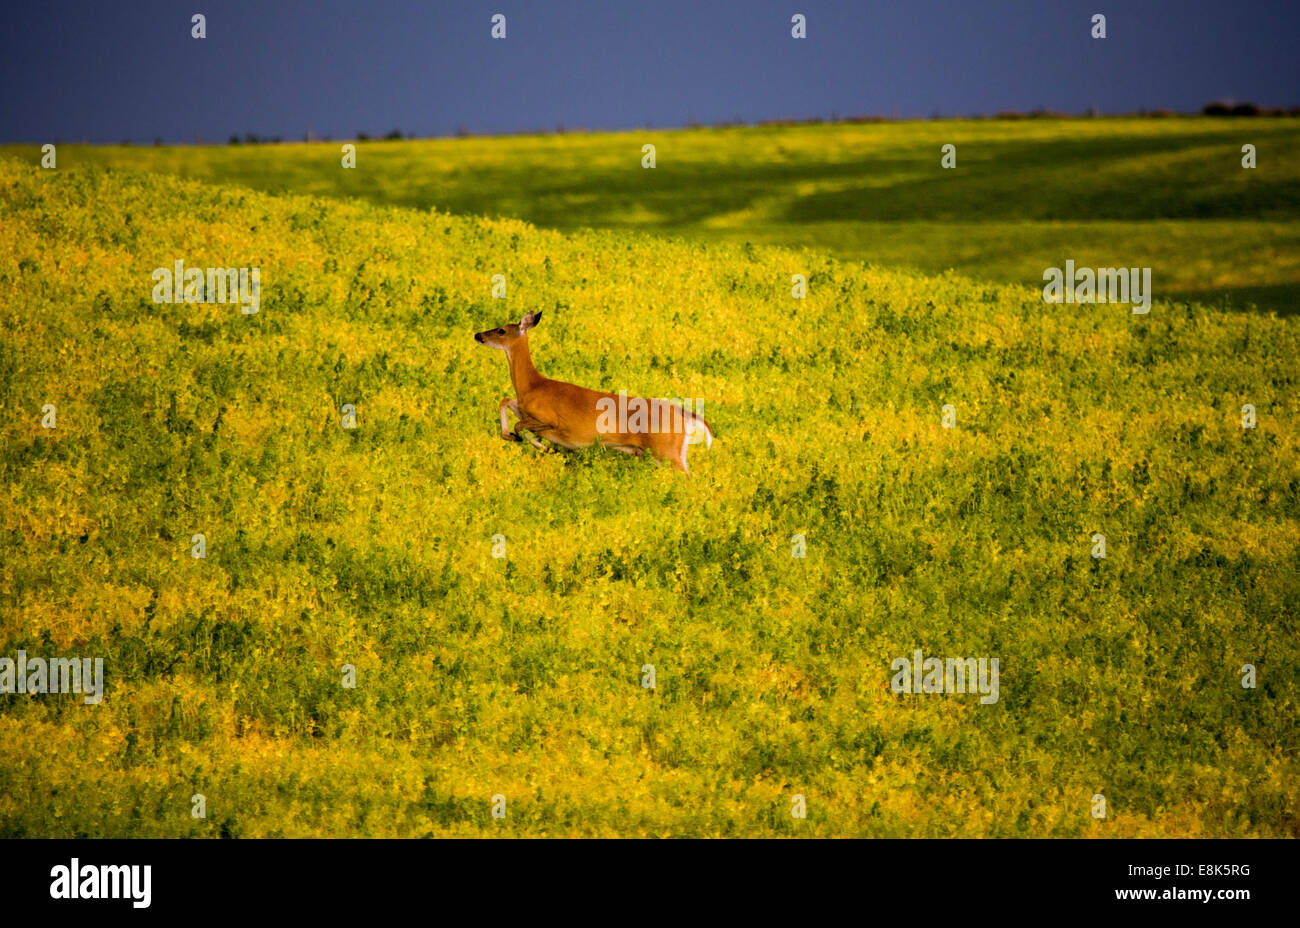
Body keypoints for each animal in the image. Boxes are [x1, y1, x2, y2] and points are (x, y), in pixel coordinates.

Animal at [474, 312, 714, 474]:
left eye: (501, 330)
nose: (478, 335)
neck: (531, 385)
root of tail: (684, 414)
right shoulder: (524, 409)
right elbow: (506, 402)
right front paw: (512, 436)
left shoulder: (549, 419)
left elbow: (520, 425)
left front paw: (540, 446)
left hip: (666, 451)